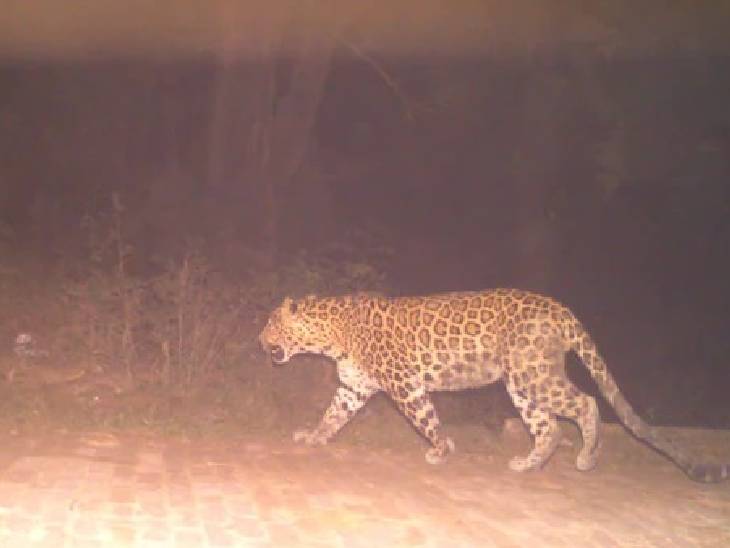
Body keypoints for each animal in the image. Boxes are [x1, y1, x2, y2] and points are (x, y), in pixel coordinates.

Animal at [259, 288, 729, 483]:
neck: (331, 335)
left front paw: (440, 450)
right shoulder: (354, 388)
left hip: (533, 373)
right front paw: (313, 437)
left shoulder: (405, 385)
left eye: (271, 324)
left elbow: (425, 419)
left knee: (586, 403)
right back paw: (529, 464)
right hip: (521, 383)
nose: (260, 341)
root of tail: (561, 309)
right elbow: (331, 415)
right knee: (549, 427)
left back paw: (586, 457)